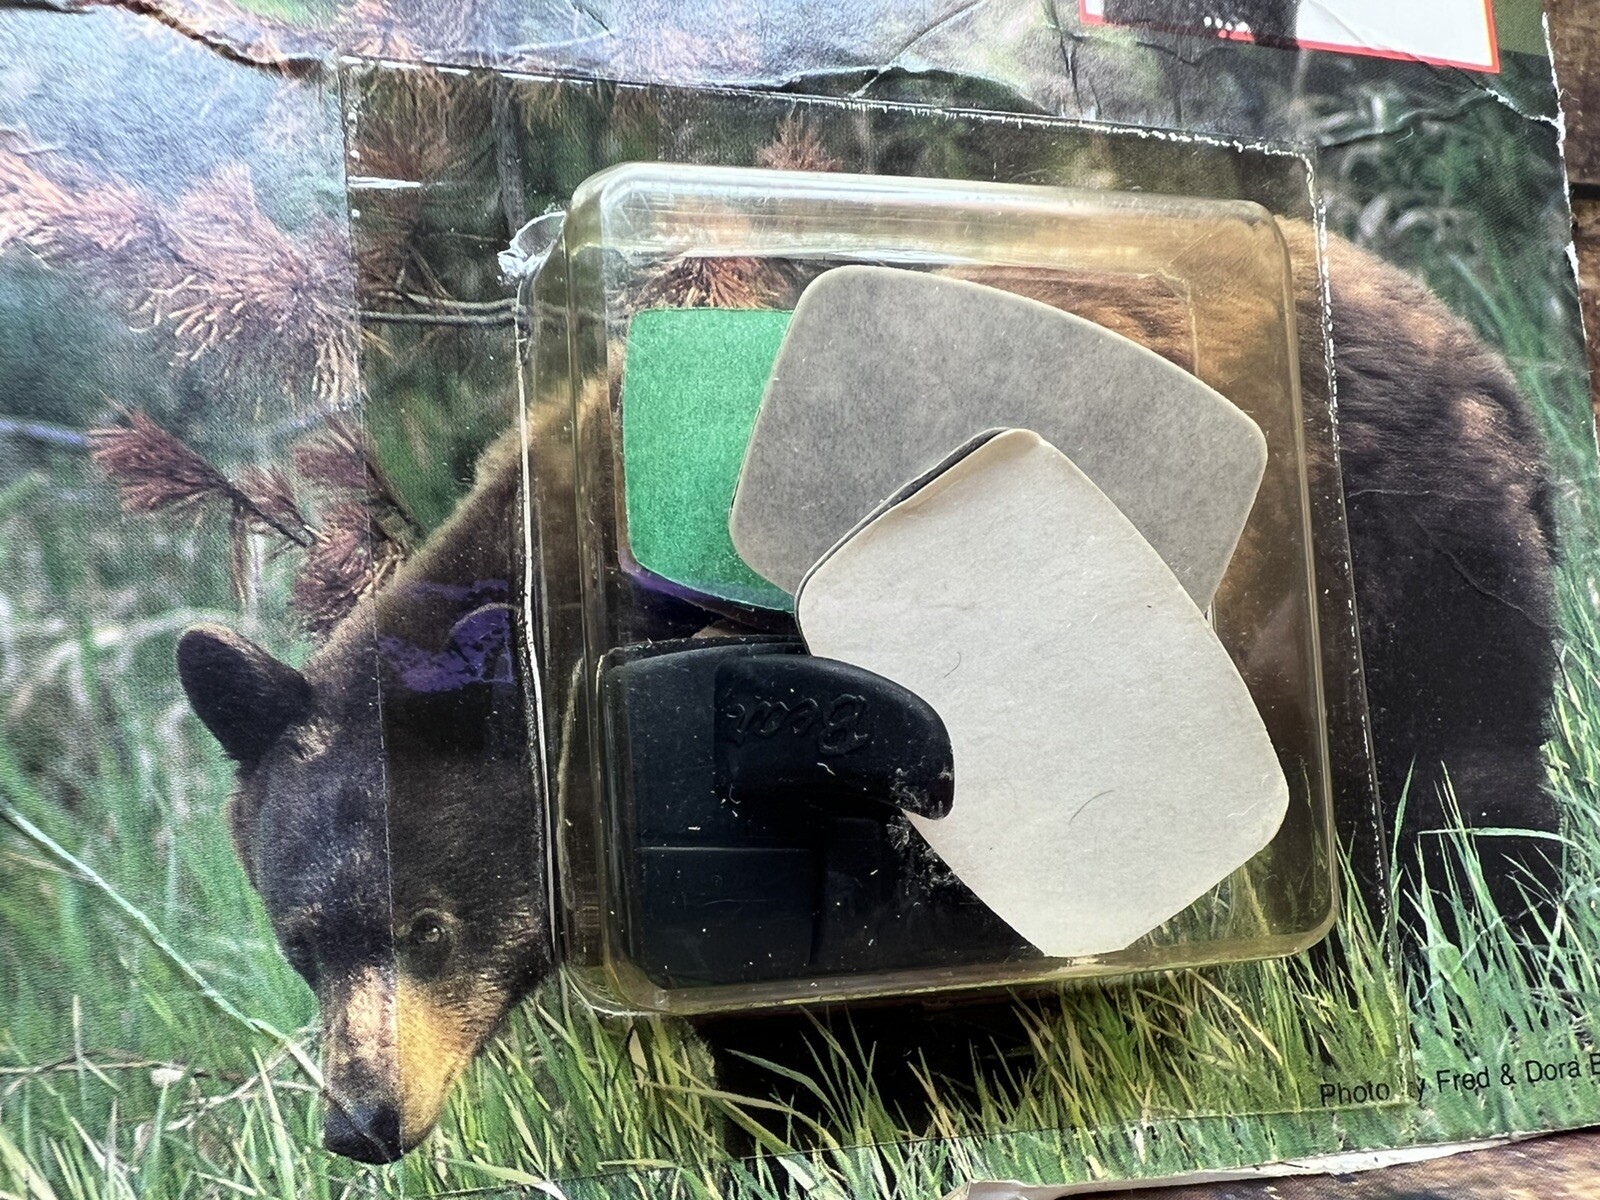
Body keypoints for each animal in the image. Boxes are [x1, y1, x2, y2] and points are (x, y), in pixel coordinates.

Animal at [177, 222, 1560, 1162]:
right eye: (301, 943)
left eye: (427, 928)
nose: (361, 1120)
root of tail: (1474, 347)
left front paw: (910, 1105)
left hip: (1386, 576)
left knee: (1453, 811)